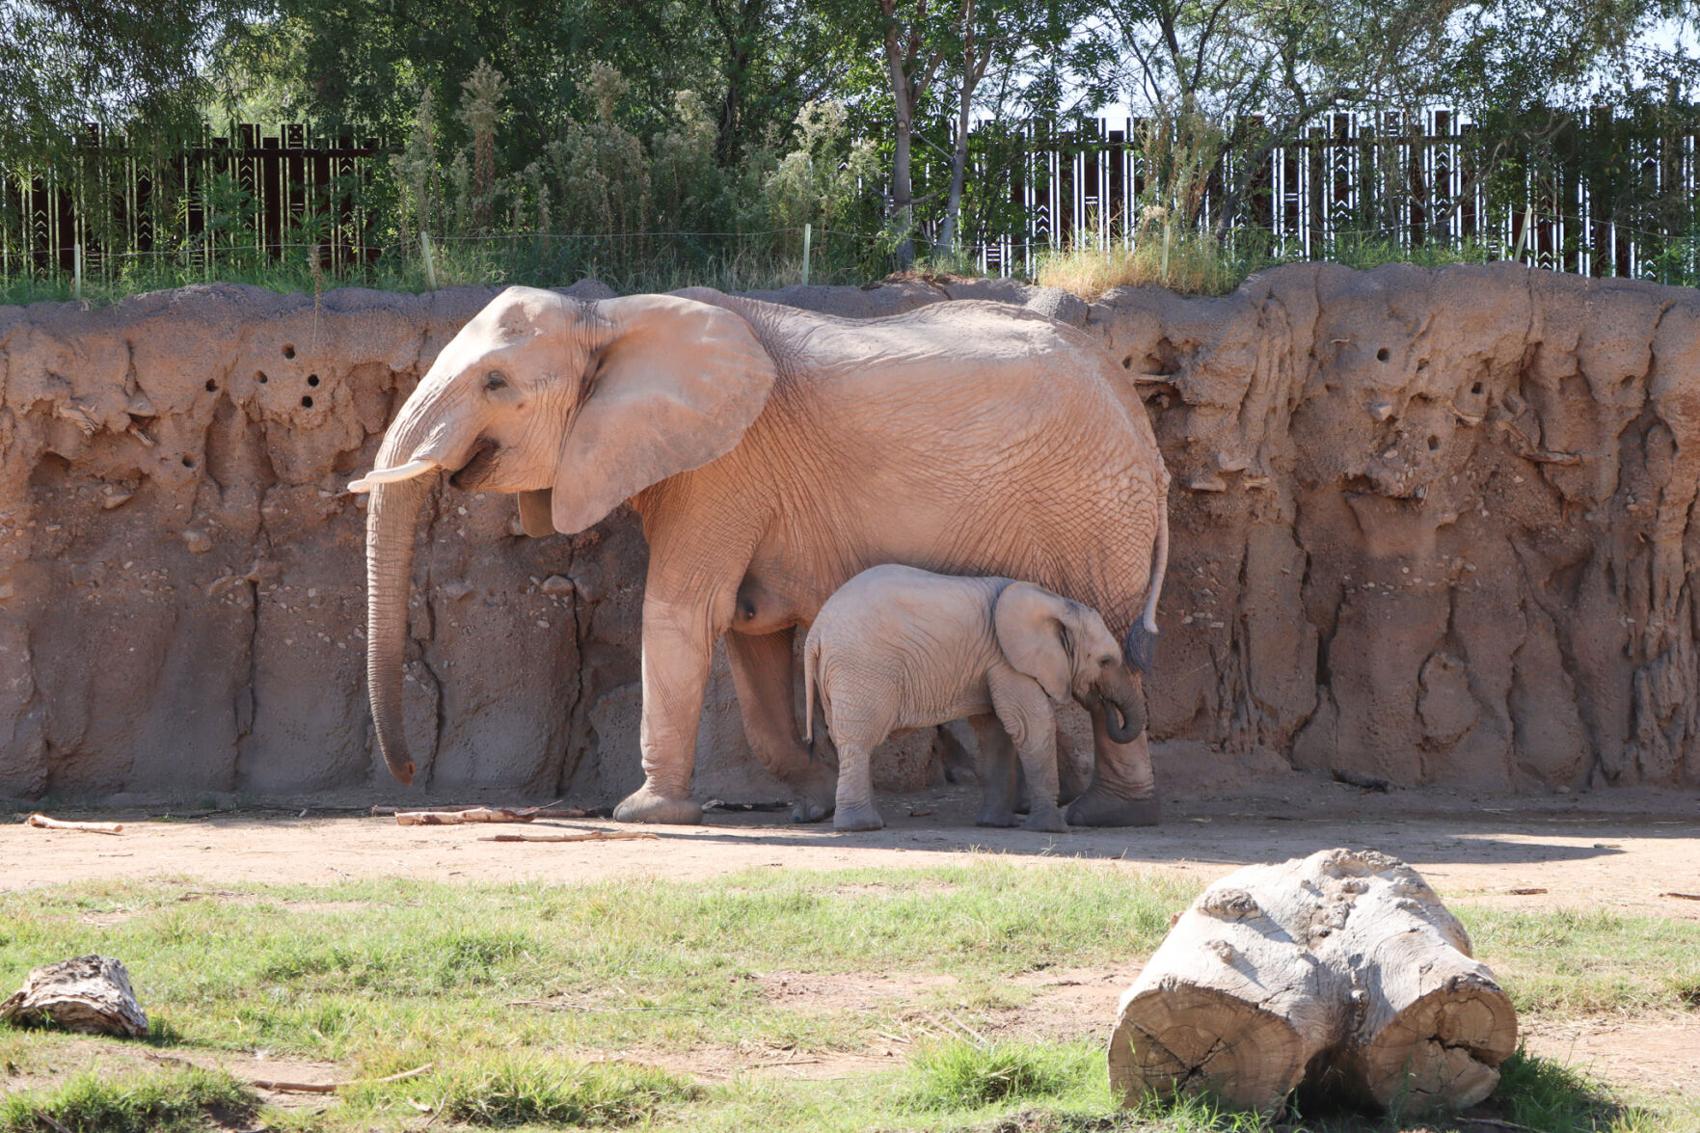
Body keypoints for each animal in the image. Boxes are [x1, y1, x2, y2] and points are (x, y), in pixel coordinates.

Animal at [802, 564, 1141, 833]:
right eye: (1105, 661)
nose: (1099, 700)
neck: (1056, 602)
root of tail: (815, 633)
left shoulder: (992, 662)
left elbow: (997, 731)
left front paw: (997, 825)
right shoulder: (1007, 660)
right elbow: (1030, 725)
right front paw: (1052, 829)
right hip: (860, 667)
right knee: (859, 740)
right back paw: (862, 827)